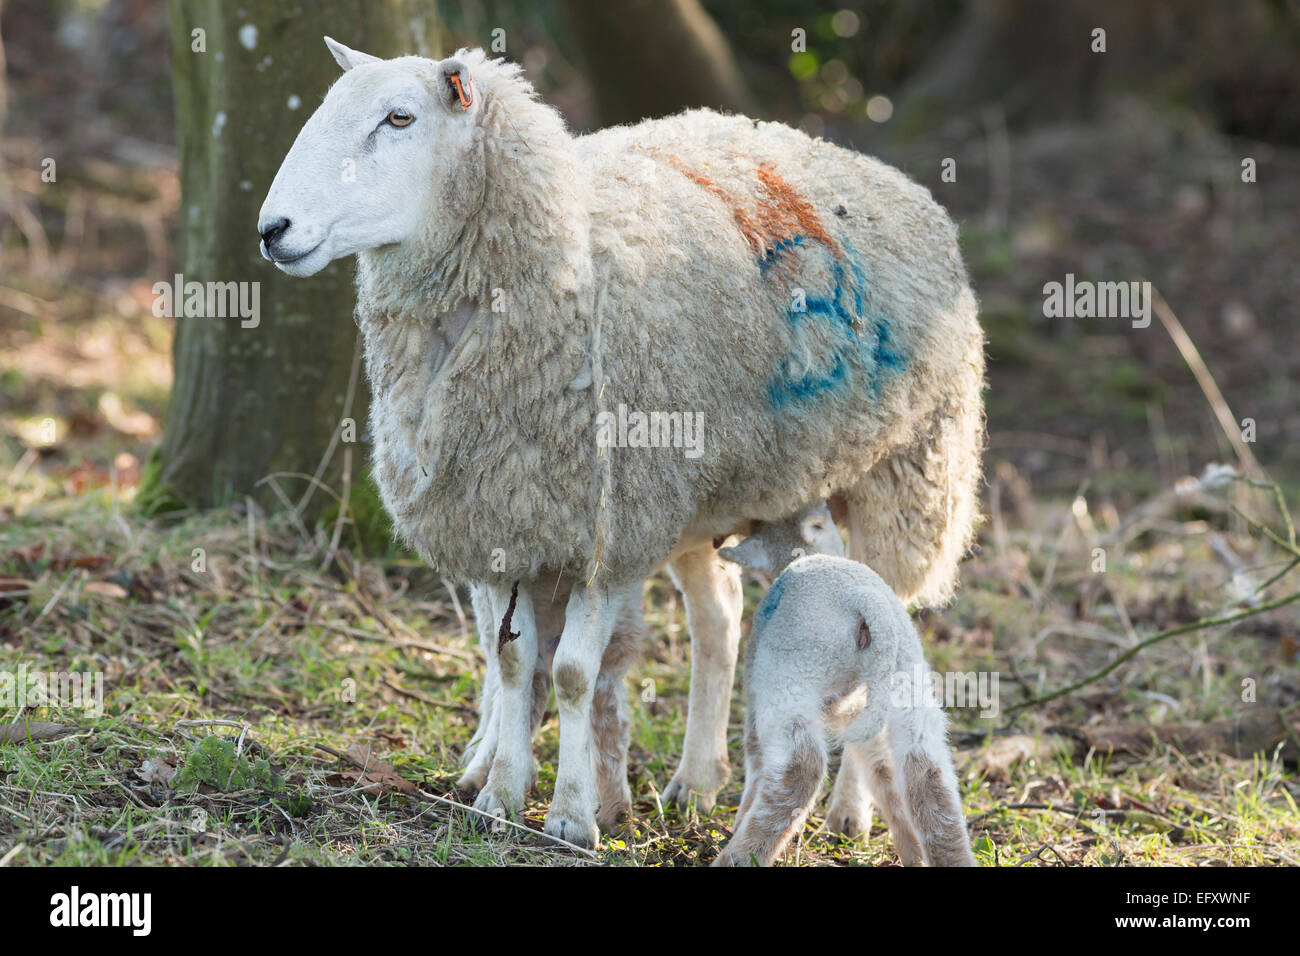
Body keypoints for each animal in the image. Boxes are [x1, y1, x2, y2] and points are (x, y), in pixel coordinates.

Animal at [714, 525, 977, 867]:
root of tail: (861, 599)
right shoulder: (862, 714)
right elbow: (881, 771)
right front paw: (910, 850)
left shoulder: (755, 693)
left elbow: (755, 754)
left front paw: (741, 816)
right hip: (907, 684)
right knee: (927, 775)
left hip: (792, 679)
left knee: (800, 767)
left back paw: (738, 855)